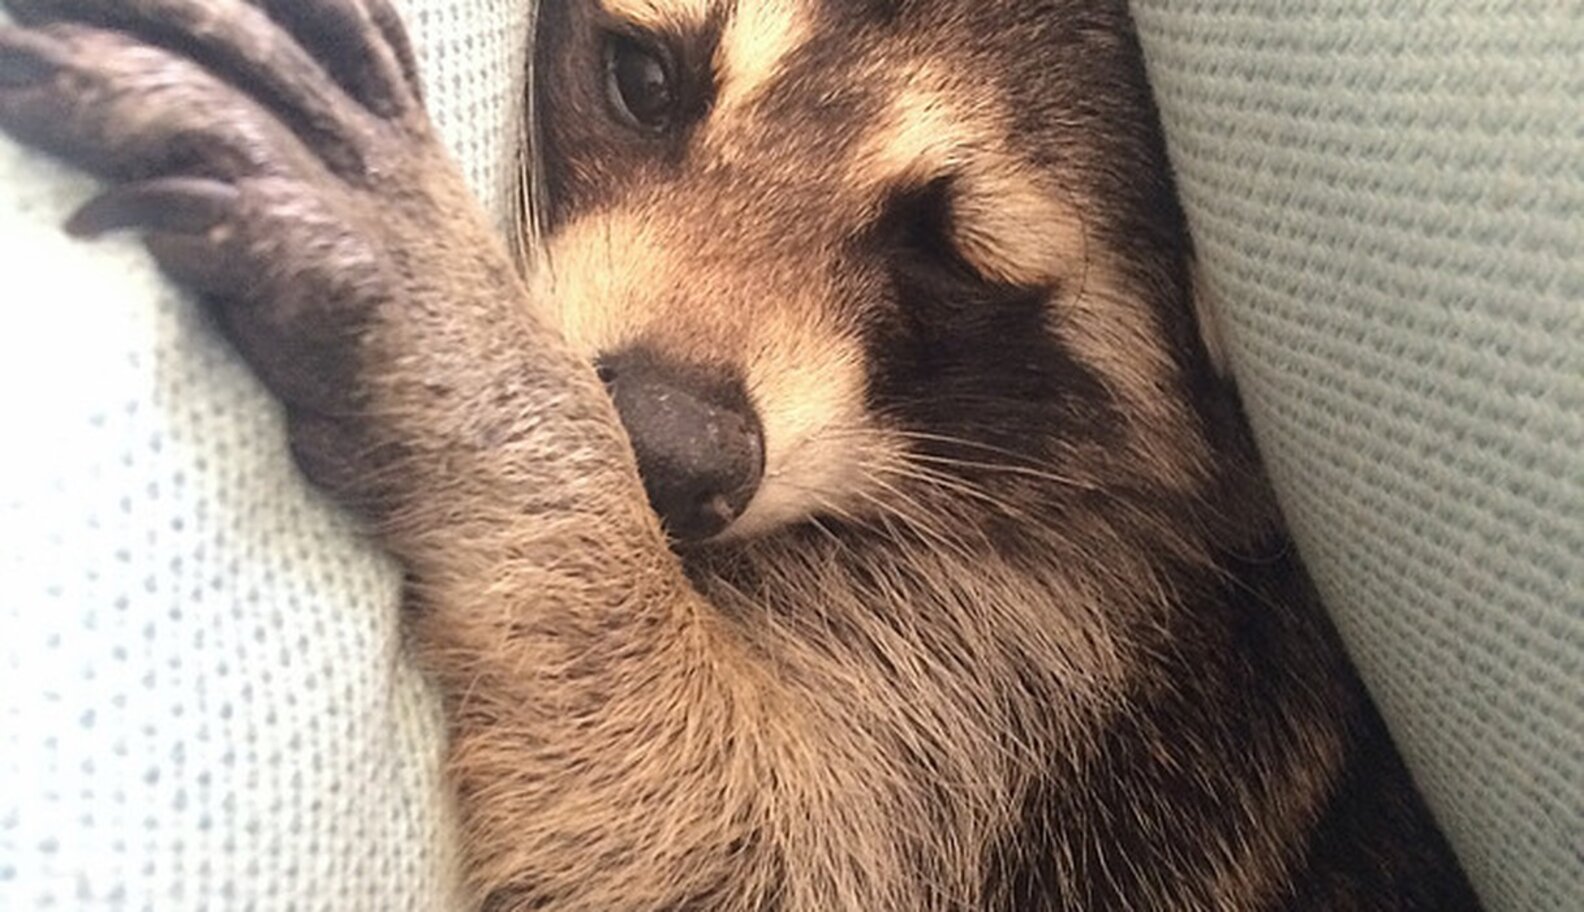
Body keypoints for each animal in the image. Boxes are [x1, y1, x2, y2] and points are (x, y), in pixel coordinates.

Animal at [0, 0, 1483, 909]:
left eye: (949, 259)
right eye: (647, 80)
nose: (657, 451)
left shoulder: (1082, 690)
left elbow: (754, 844)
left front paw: (477, 372)